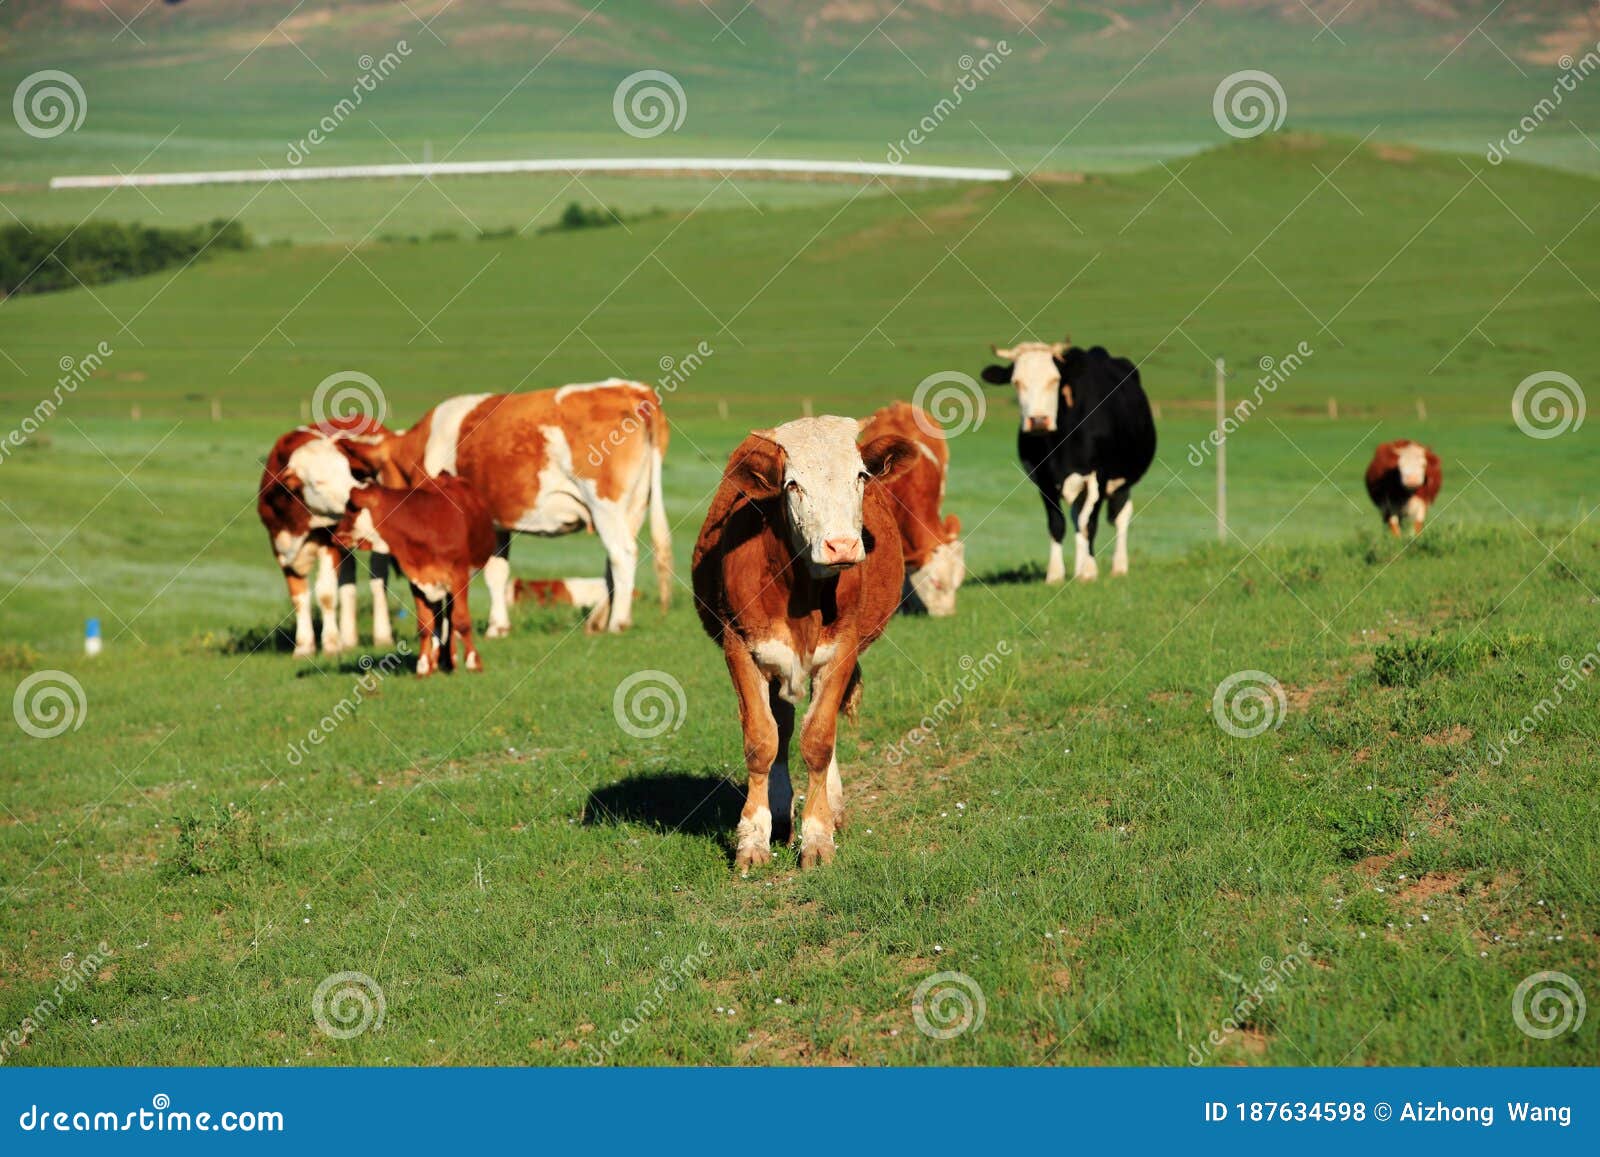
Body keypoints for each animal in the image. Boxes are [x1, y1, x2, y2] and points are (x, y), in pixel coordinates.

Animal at [257, 422, 395, 658]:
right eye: (318, 482)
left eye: (348, 472)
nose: (358, 495)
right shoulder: (280, 548)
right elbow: (299, 598)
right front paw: (304, 647)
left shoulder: (329, 544)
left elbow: (326, 595)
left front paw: (331, 644)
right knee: (348, 582)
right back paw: (348, 639)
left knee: (378, 580)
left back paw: (382, 636)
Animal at [335, 474, 497, 676]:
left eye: (352, 511)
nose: (335, 536)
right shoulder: (417, 581)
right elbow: (425, 625)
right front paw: (424, 665)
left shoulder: (459, 577)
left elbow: (461, 621)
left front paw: (473, 663)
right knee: (439, 618)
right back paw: (441, 660)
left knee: (452, 617)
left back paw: (452, 659)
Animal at [346, 380, 670, 635]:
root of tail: (631, 389)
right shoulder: (496, 524)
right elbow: (497, 573)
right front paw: (498, 627)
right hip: (634, 506)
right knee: (612, 562)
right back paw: (599, 621)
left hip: (605, 504)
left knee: (621, 555)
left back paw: (618, 622)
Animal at [692, 416, 915, 871]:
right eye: (792, 484)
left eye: (861, 476)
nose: (842, 545)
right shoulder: (740, 647)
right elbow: (762, 740)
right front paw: (753, 839)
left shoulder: (842, 650)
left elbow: (819, 740)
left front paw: (818, 835)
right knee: (781, 724)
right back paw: (780, 812)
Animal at [981, 341, 1157, 583]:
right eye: (1016, 382)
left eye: (1055, 380)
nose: (1038, 420)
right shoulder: (1043, 479)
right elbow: (1058, 524)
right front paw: (1056, 574)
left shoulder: (1100, 476)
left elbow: (1090, 524)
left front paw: (1090, 572)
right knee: (1077, 518)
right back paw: (1079, 568)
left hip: (1121, 480)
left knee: (1119, 516)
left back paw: (1118, 566)